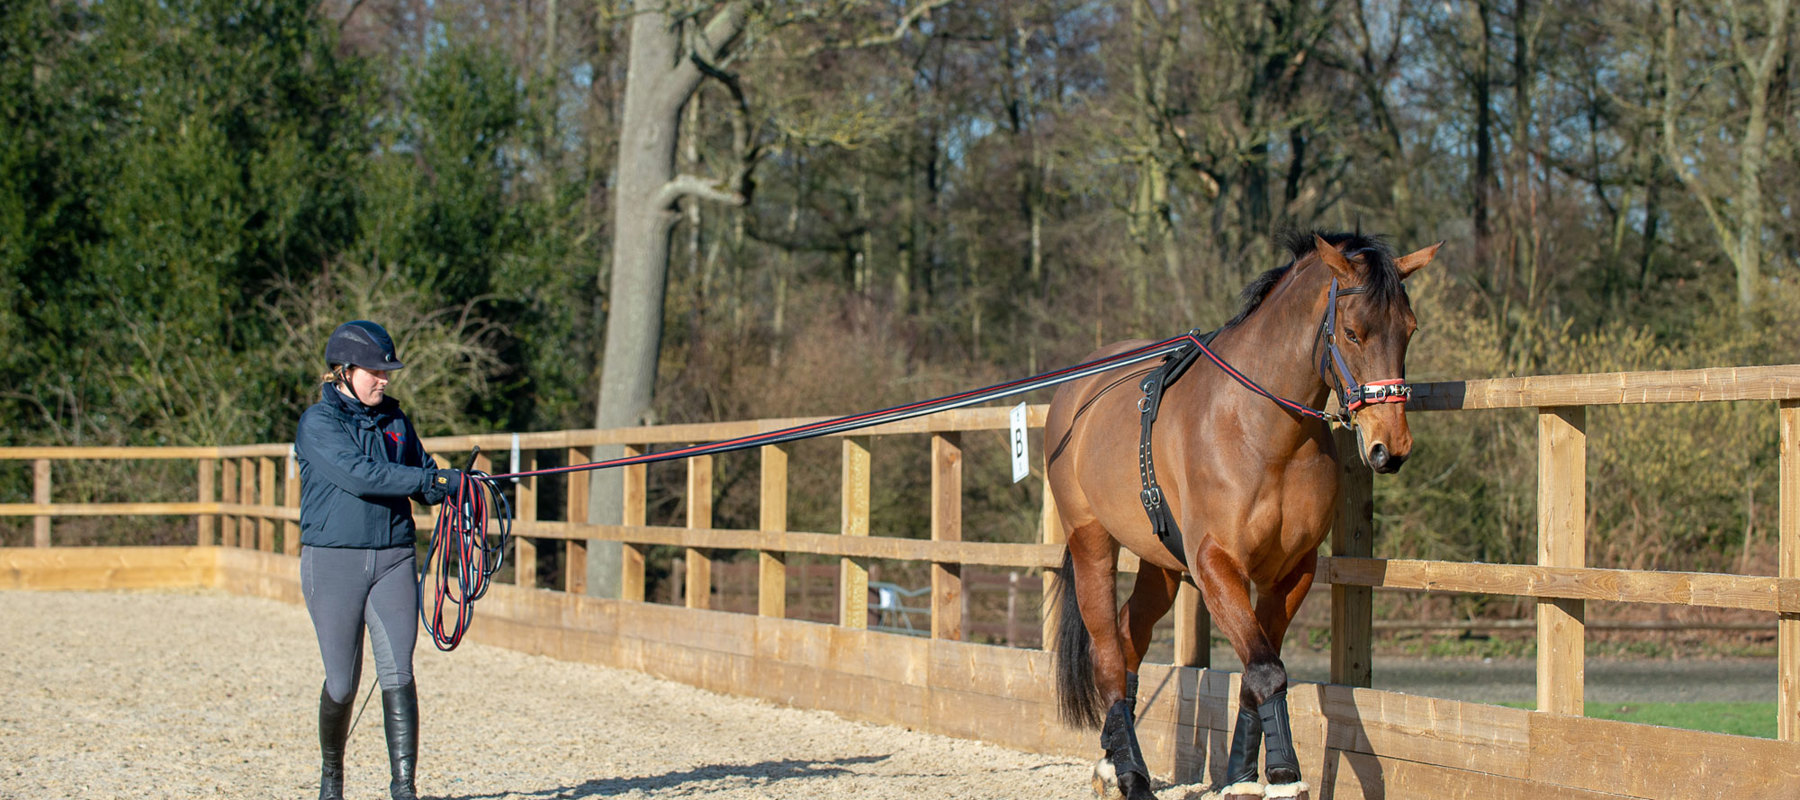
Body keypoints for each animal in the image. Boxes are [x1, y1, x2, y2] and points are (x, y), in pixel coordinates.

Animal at [1044, 231, 1440, 800]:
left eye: (1409, 329)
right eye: (1352, 332)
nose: (1392, 448)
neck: (1262, 430)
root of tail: (1076, 390)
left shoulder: (1292, 572)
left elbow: (1260, 669)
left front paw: (1244, 775)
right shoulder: (1216, 565)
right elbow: (1267, 670)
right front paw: (1283, 776)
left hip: (1161, 566)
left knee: (1128, 637)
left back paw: (1111, 760)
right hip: (1092, 542)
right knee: (1107, 652)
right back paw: (1131, 774)